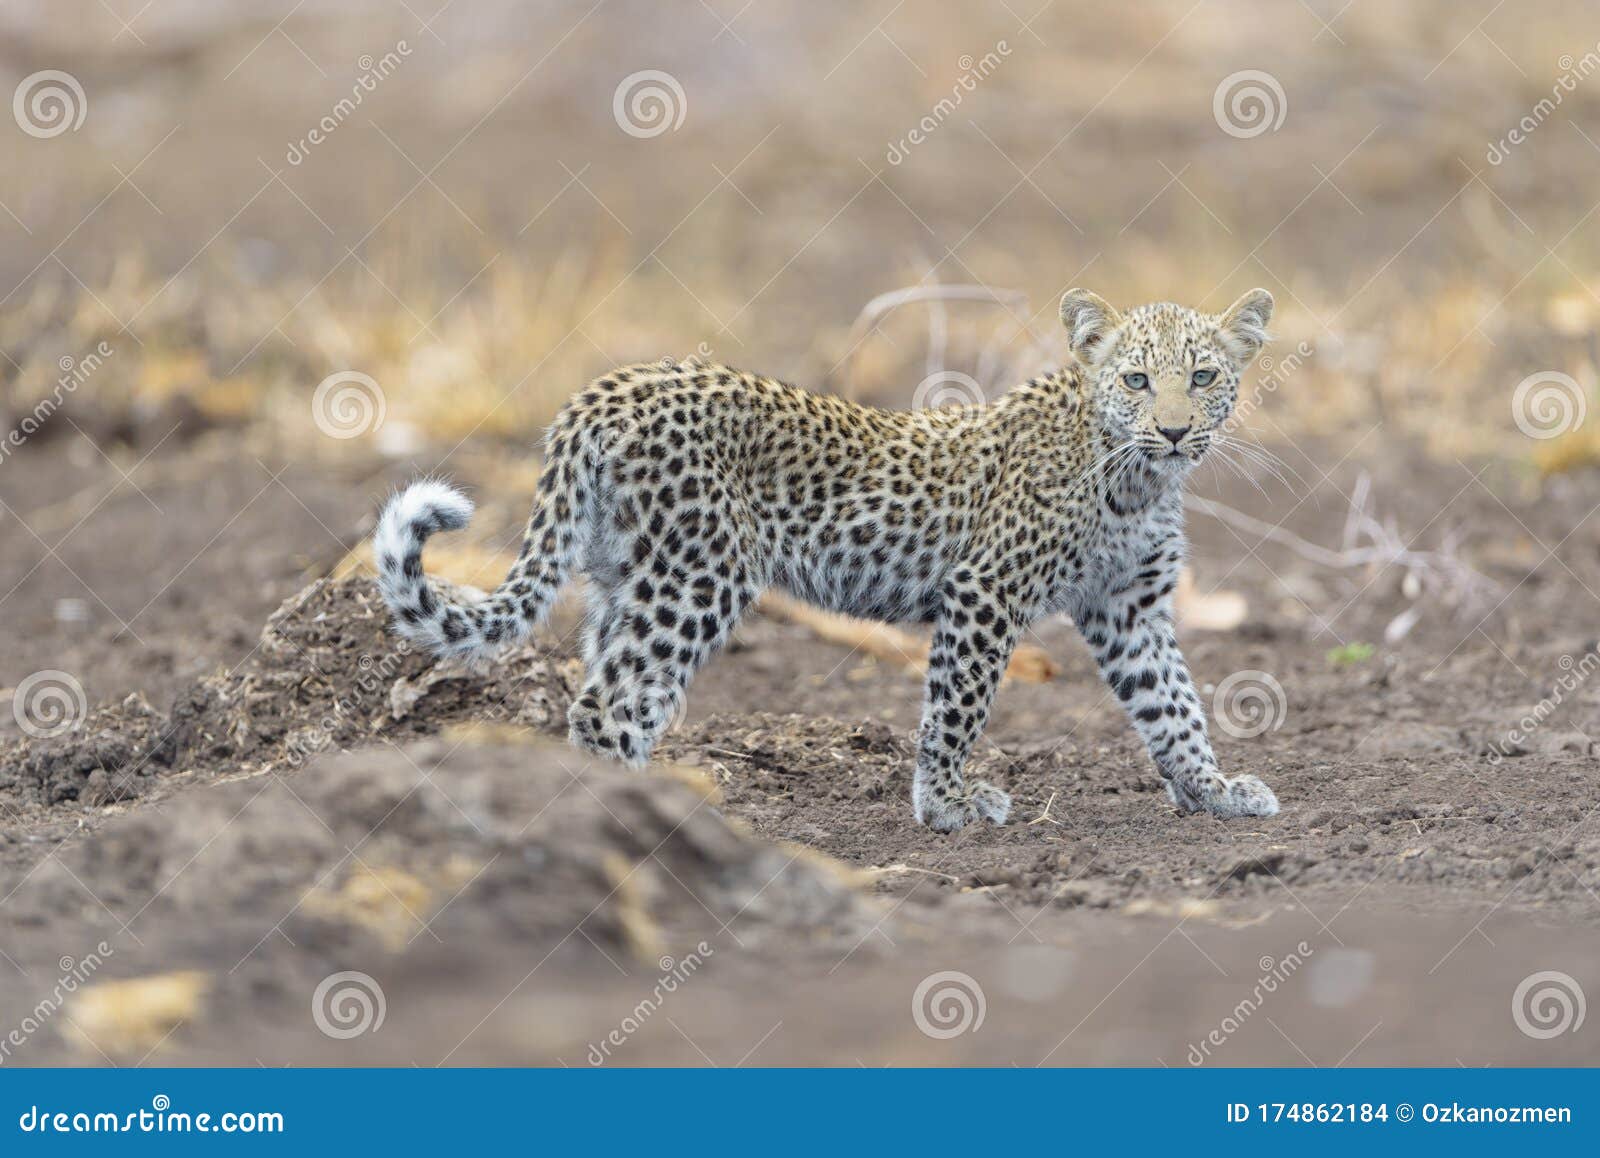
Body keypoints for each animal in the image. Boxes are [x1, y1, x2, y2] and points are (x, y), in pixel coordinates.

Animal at [374, 287, 1282, 832]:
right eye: (1136, 379)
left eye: (1204, 377)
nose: (1174, 429)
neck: (1137, 477)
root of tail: (605, 391)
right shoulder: (984, 593)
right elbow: (956, 711)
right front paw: (946, 805)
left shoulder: (1129, 608)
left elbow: (1175, 704)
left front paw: (1212, 789)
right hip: (696, 578)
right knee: (610, 704)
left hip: (626, 577)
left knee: (606, 691)